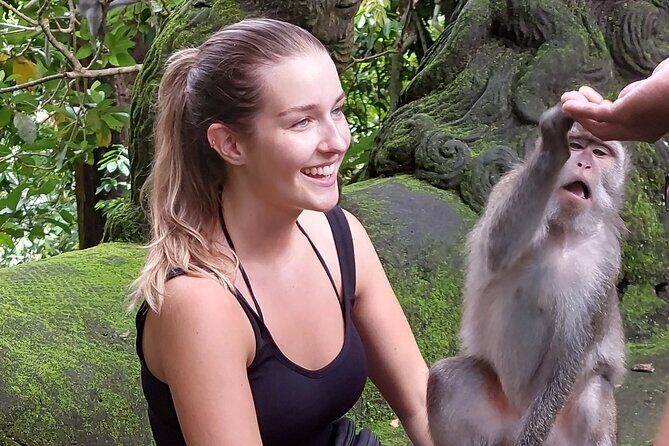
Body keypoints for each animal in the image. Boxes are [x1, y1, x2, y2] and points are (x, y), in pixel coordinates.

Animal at [427, 105, 628, 446]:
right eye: (577, 145)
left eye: (600, 152)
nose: (583, 162)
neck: (563, 232)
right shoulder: (507, 186)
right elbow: (498, 245)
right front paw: (553, 147)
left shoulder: (606, 260)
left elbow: (571, 351)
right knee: (448, 381)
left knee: (594, 391)